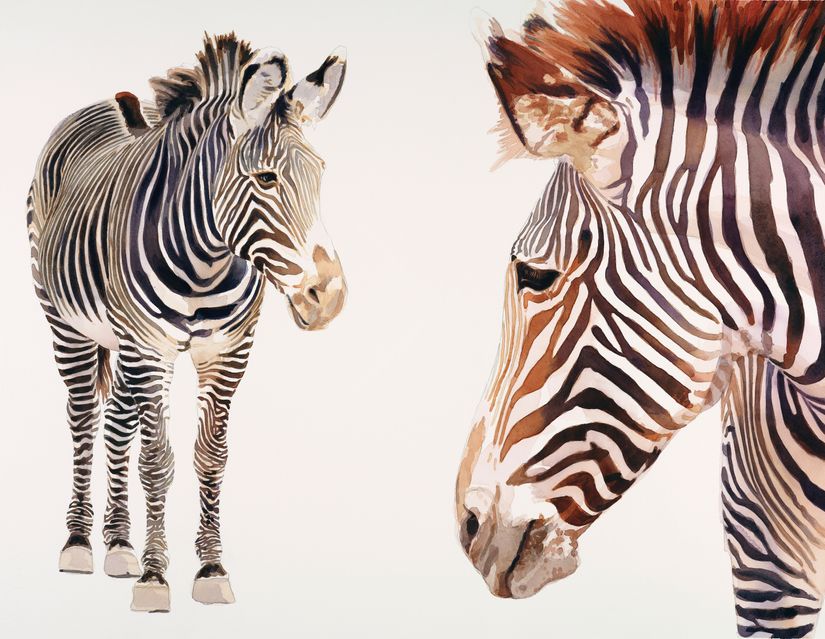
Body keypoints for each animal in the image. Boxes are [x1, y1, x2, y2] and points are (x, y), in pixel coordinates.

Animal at [27, 33, 347, 612]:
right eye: (265, 178)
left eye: (322, 175)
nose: (328, 298)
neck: (208, 259)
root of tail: (111, 101)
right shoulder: (150, 348)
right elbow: (158, 459)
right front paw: (155, 579)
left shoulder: (227, 352)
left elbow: (210, 457)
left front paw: (211, 569)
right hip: (68, 324)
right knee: (84, 418)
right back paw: (80, 543)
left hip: (120, 342)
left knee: (116, 422)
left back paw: (119, 546)